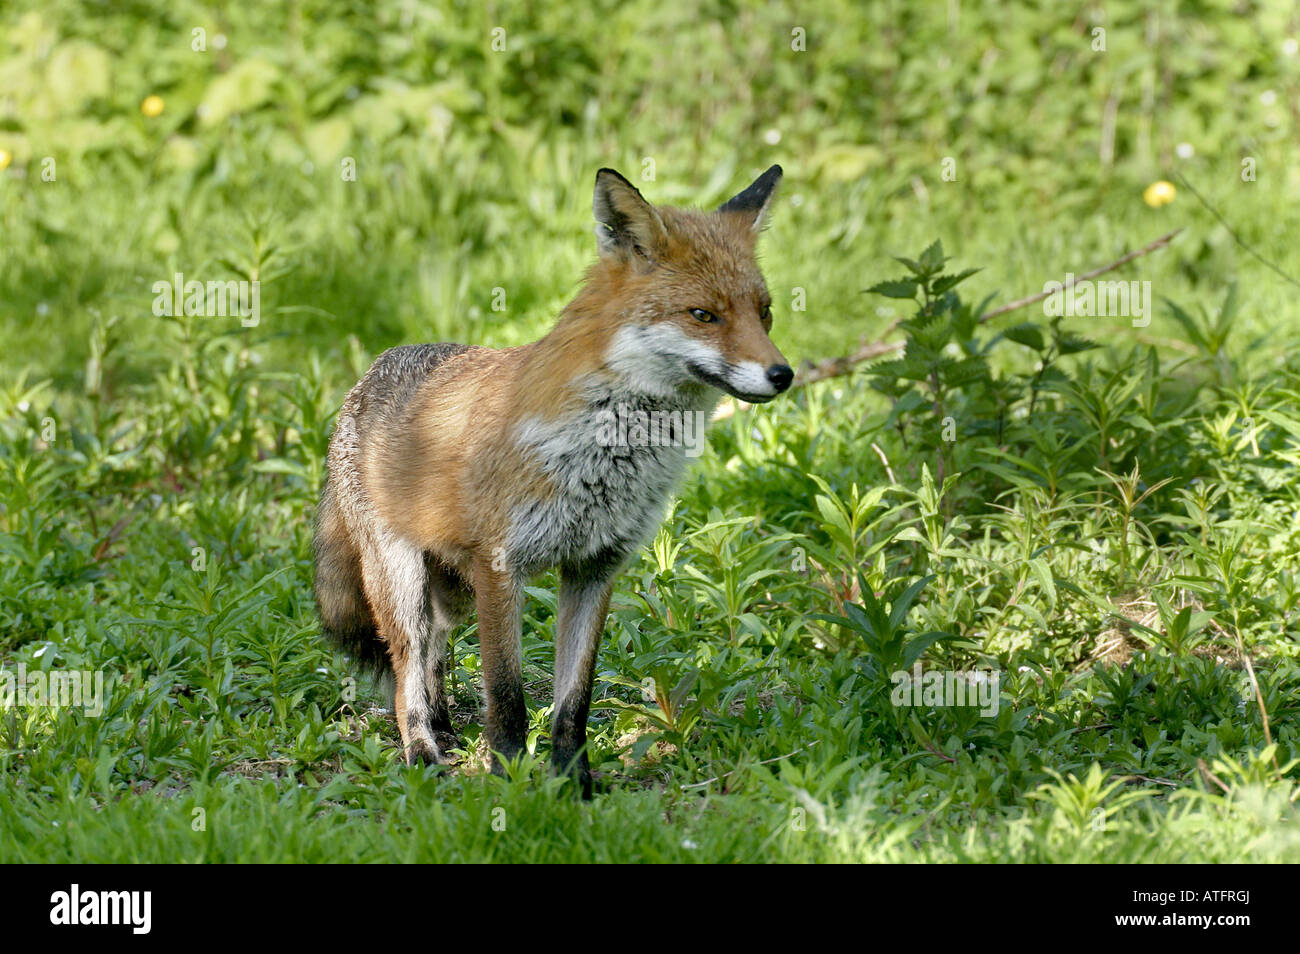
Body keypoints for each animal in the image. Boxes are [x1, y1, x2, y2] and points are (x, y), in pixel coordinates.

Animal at [313, 164, 792, 797]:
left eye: (764, 313)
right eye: (703, 316)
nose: (783, 374)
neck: (605, 454)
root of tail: (370, 371)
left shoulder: (595, 567)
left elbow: (574, 700)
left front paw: (573, 785)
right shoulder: (500, 568)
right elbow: (507, 697)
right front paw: (512, 783)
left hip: (452, 592)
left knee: (435, 655)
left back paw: (444, 730)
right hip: (405, 584)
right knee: (406, 670)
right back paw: (421, 750)